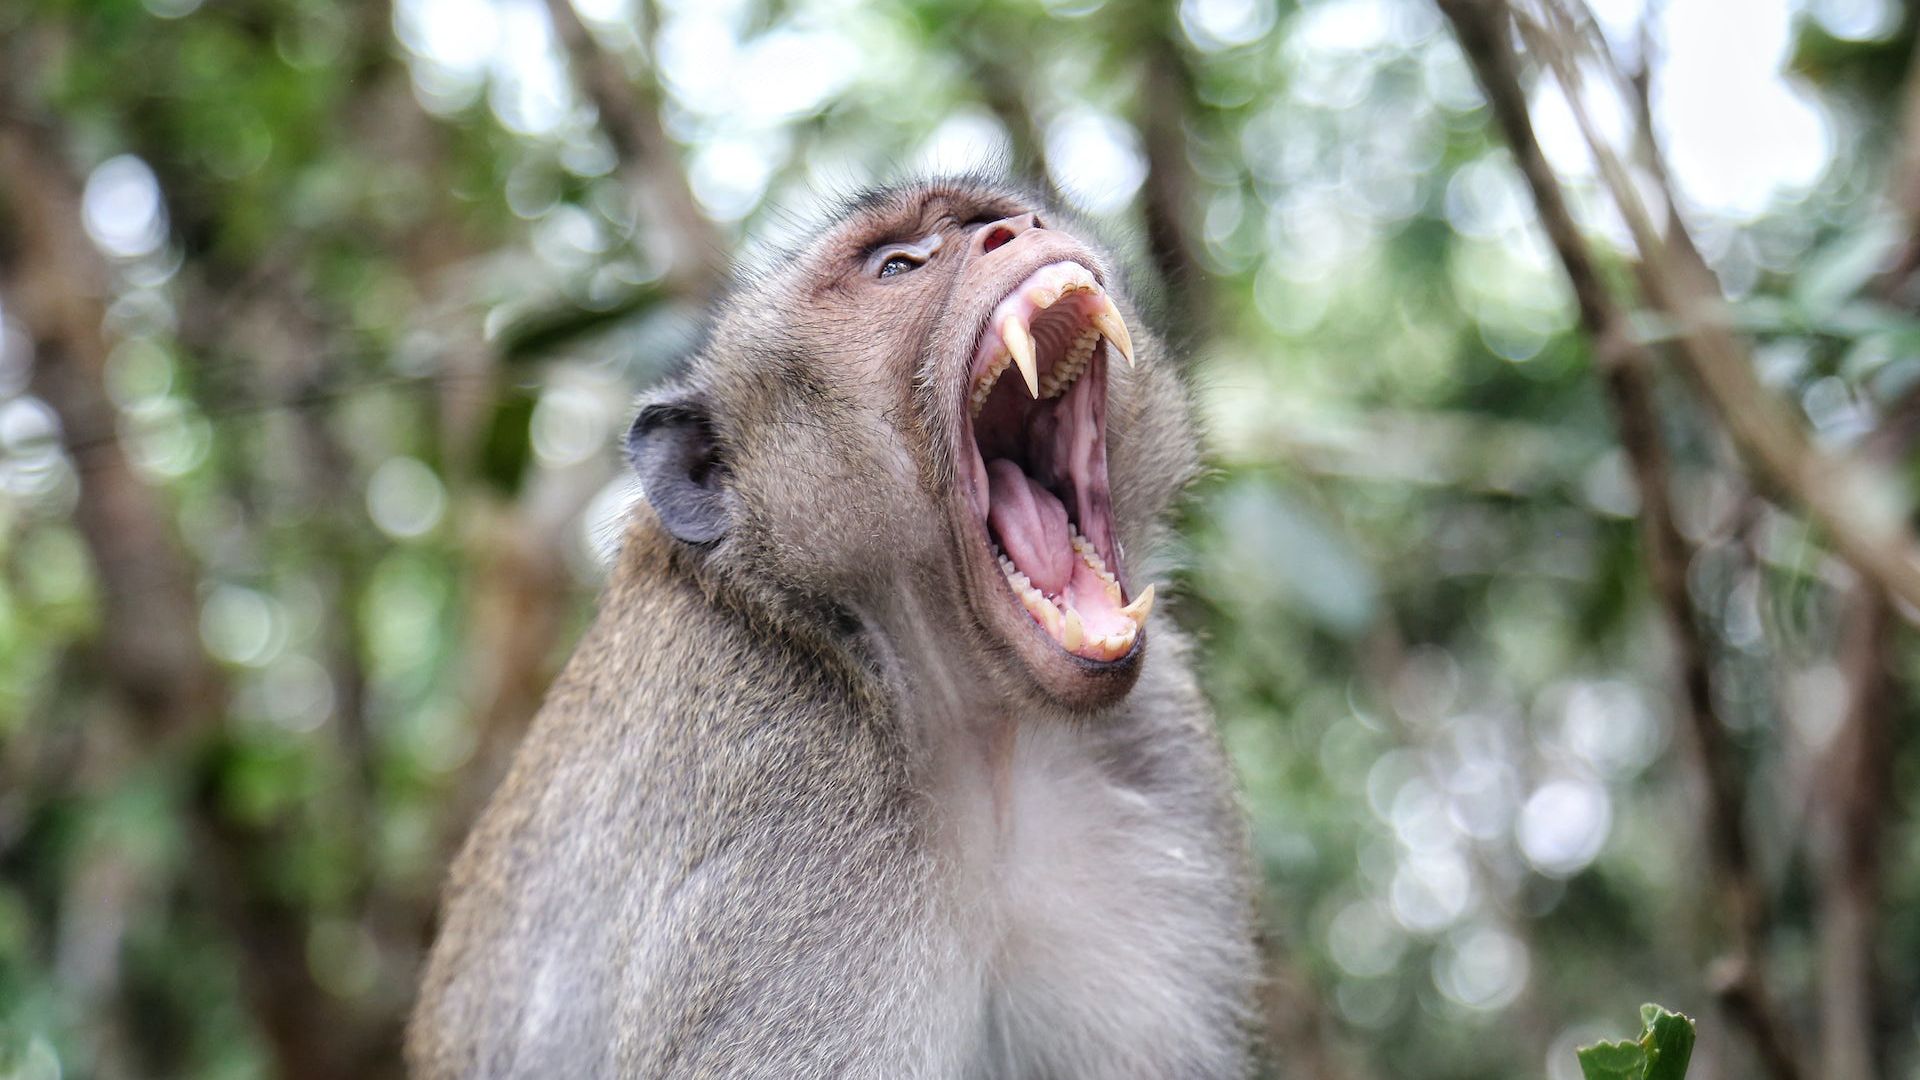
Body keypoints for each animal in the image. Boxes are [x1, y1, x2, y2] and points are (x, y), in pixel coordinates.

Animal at [407, 175, 1260, 1079]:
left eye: (998, 217)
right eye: (897, 266)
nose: (1014, 230)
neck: (974, 729)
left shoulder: (1160, 744)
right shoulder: (782, 796)